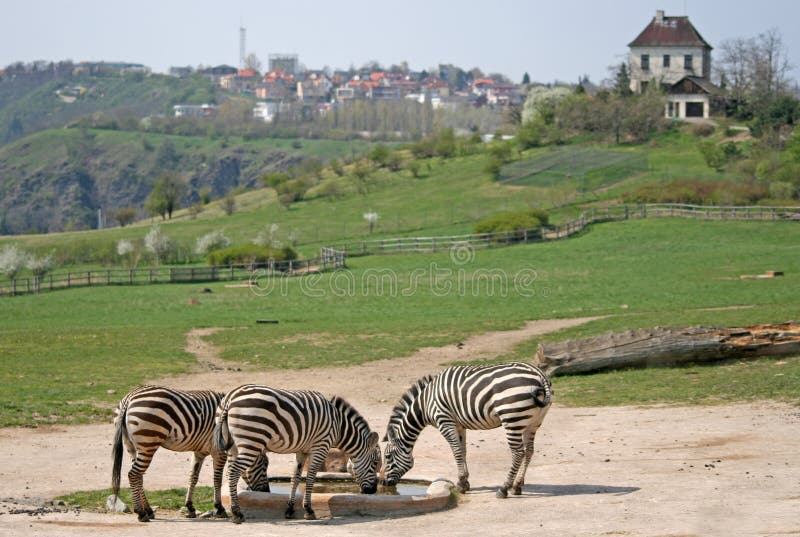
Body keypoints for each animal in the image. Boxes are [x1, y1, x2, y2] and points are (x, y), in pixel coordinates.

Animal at [111, 385, 271, 522]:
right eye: (265, 465)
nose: (267, 492)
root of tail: (129, 397)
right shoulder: (219, 451)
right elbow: (217, 479)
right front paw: (219, 508)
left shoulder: (199, 451)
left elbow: (193, 477)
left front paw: (190, 507)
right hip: (148, 442)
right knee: (134, 474)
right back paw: (141, 513)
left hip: (132, 446)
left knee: (139, 476)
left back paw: (148, 510)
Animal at [214, 384, 381, 523]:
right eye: (375, 463)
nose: (373, 491)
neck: (339, 427)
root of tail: (230, 398)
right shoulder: (321, 446)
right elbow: (310, 478)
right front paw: (309, 510)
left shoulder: (302, 451)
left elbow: (295, 477)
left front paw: (290, 510)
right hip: (251, 442)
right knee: (234, 473)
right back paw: (237, 514)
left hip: (234, 446)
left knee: (229, 472)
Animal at [382, 362, 552, 498]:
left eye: (388, 456)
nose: (382, 483)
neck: (425, 404)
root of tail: (539, 373)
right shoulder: (459, 425)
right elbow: (463, 451)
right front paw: (465, 482)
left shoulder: (445, 421)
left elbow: (456, 451)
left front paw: (461, 484)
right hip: (533, 422)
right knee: (529, 451)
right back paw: (517, 486)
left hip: (511, 418)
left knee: (518, 453)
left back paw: (504, 488)